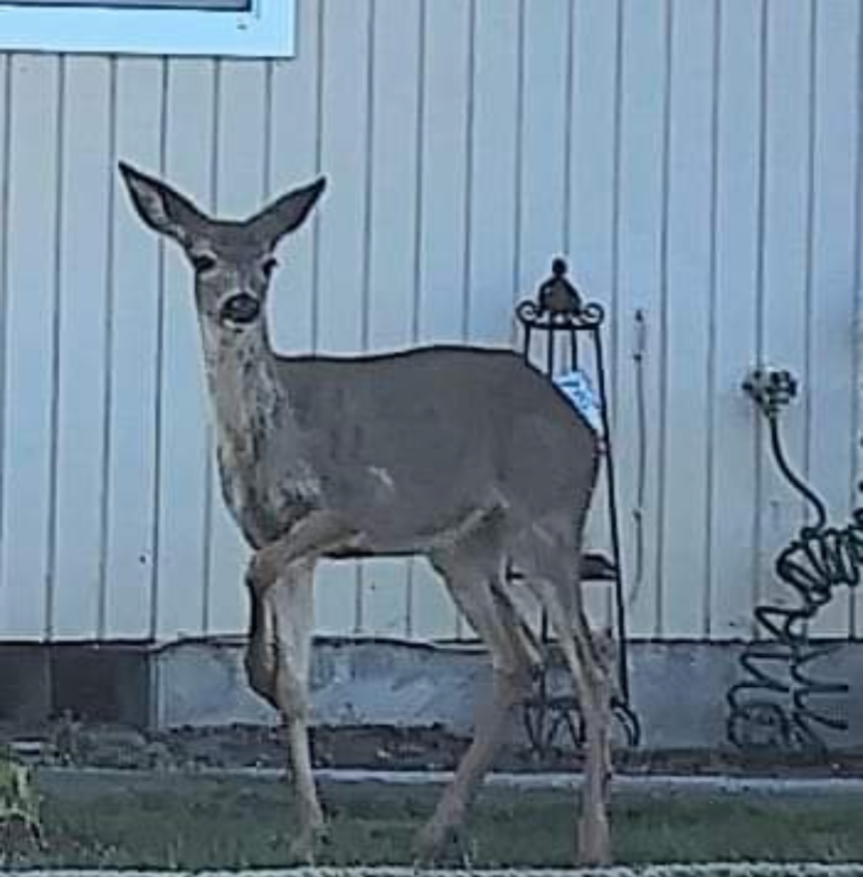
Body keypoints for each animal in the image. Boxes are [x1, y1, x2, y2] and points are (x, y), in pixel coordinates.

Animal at [118, 161, 614, 866]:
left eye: (269, 261)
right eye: (202, 257)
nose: (241, 304)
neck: (273, 436)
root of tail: (580, 424)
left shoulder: (352, 505)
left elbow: (255, 570)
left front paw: (256, 672)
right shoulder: (281, 536)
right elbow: (296, 677)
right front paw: (309, 832)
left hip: (547, 519)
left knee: (591, 667)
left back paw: (592, 841)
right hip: (463, 548)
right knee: (520, 659)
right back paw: (436, 832)